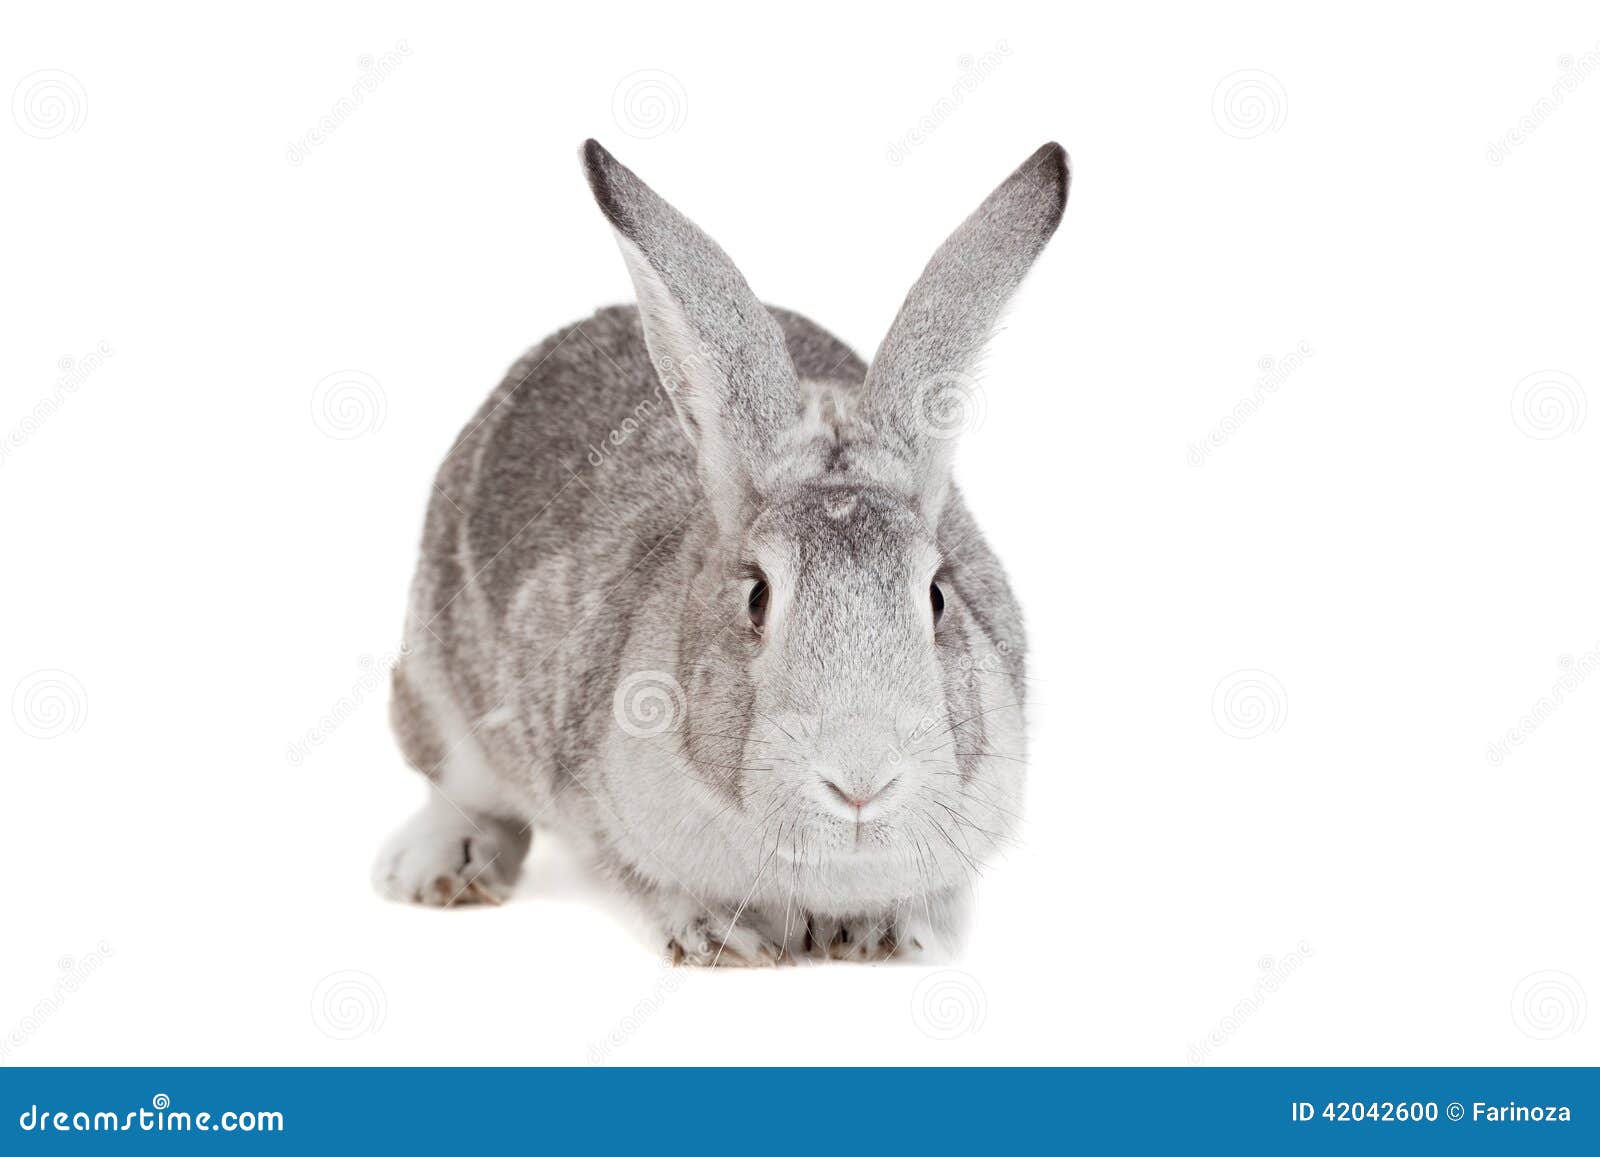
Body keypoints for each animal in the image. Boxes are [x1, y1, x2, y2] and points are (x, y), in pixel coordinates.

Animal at [373, 138, 1069, 964]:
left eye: (936, 597)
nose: (860, 782)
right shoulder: (599, 813)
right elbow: (650, 885)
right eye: (757, 596)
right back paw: (440, 870)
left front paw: (884, 936)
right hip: (434, 687)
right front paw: (727, 944)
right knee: (457, 789)